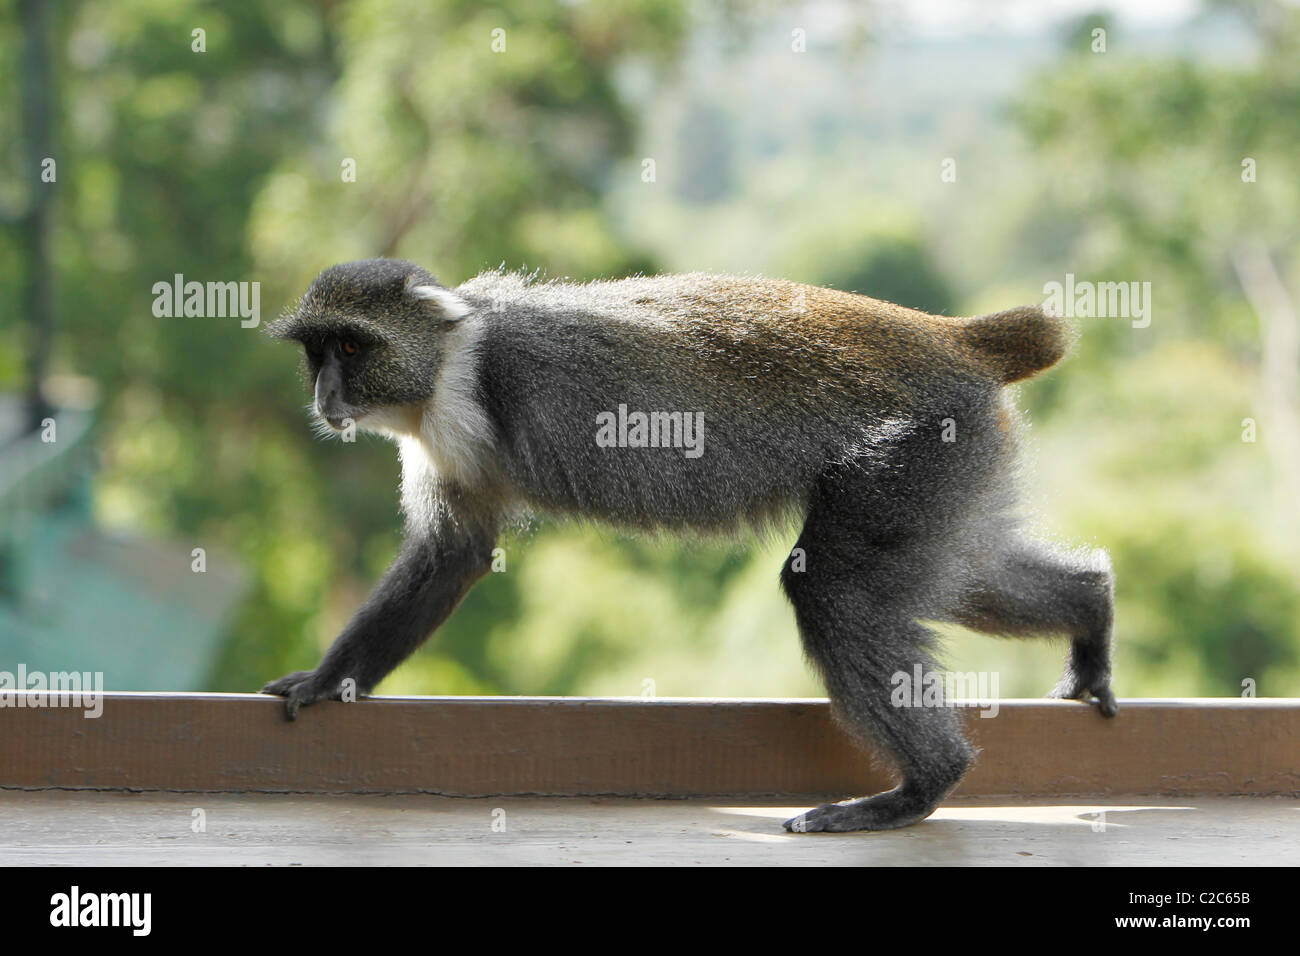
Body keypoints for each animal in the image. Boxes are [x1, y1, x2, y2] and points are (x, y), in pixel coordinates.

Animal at [262, 257, 1116, 833]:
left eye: (350, 348)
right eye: (316, 352)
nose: (325, 397)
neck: (450, 356)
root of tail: (959, 342)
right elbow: (454, 556)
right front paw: (327, 681)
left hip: (914, 453)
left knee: (837, 592)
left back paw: (922, 786)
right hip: (954, 468)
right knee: (967, 571)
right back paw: (1090, 611)